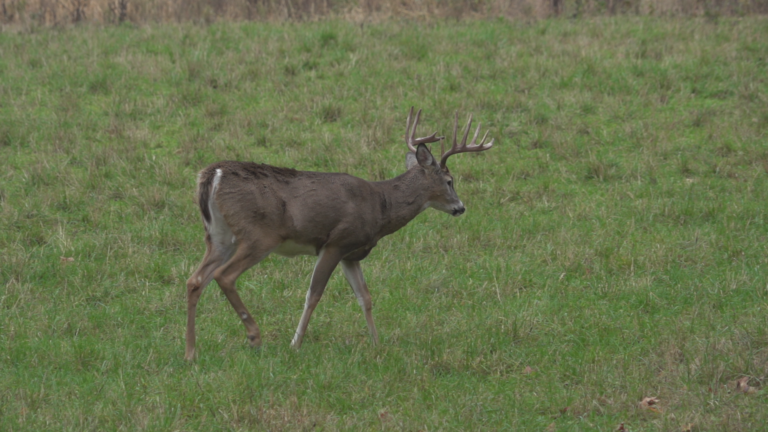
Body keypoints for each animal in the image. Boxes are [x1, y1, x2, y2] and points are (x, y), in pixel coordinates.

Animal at [184, 107, 493, 360]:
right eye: (450, 181)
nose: (460, 207)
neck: (381, 206)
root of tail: (213, 174)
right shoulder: (336, 242)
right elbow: (314, 294)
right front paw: (295, 344)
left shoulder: (351, 254)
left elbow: (365, 297)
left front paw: (376, 344)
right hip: (259, 235)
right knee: (224, 276)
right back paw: (254, 336)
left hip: (219, 235)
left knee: (195, 279)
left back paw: (191, 352)